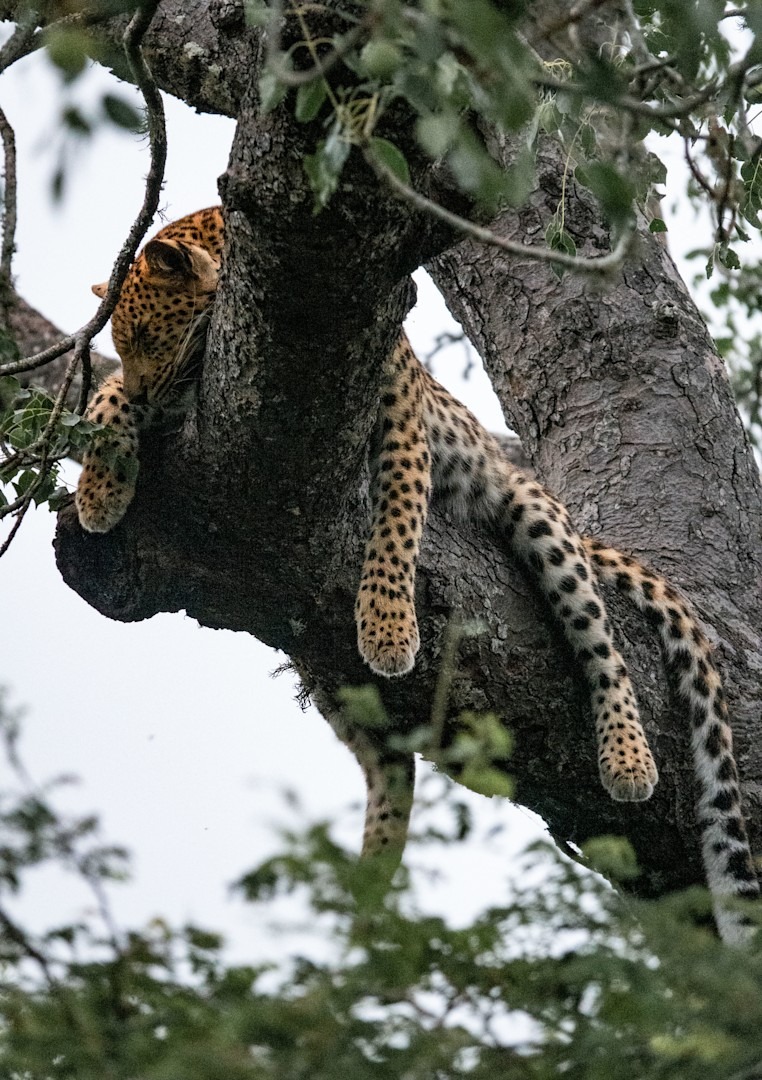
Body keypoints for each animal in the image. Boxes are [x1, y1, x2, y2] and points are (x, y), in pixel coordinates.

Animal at [76, 206, 759, 943]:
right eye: (122, 344)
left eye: (146, 335)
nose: (146, 390)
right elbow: (103, 403)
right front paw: (98, 492)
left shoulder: (400, 417)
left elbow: (397, 526)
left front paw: (388, 628)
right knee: (388, 761)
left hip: (540, 521)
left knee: (605, 651)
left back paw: (628, 758)